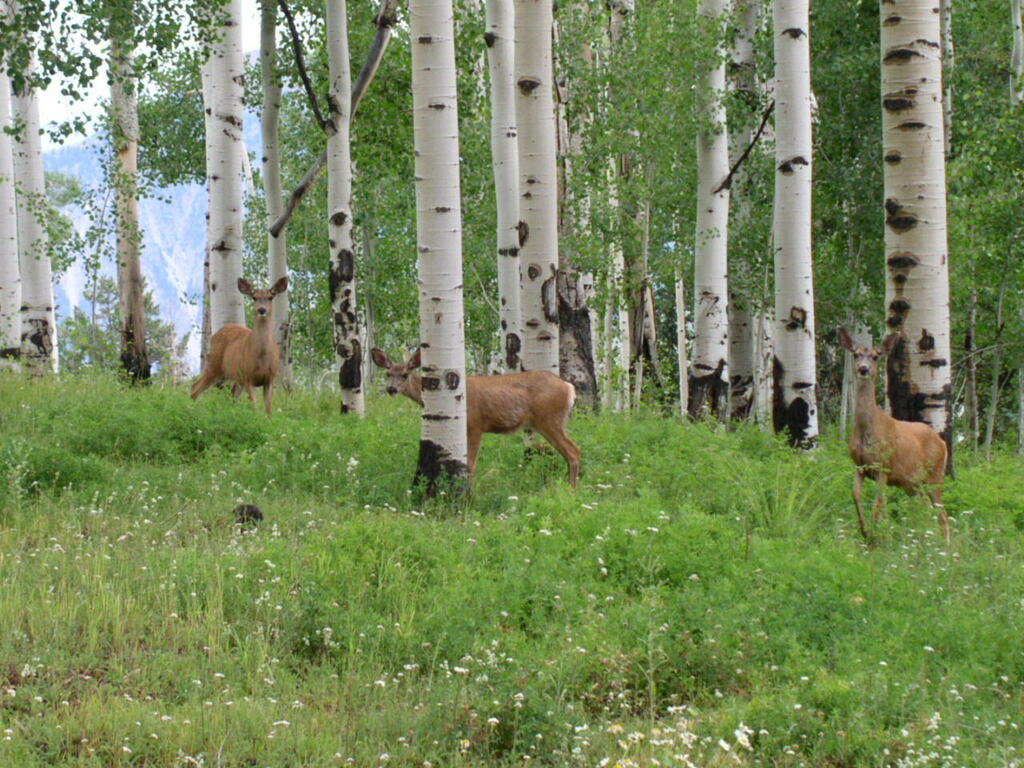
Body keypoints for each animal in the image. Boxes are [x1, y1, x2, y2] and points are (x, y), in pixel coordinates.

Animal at [191, 277, 288, 416]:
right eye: (254, 297)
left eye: (270, 297)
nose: (261, 310)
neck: (262, 358)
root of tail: (216, 333)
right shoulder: (247, 377)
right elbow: (255, 408)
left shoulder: (270, 378)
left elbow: (268, 411)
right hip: (214, 363)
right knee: (195, 387)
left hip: (234, 375)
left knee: (232, 395)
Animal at [371, 347, 581, 487]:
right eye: (388, 373)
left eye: (405, 374)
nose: (391, 389)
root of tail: (568, 387)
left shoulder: (475, 425)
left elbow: (470, 465)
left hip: (550, 419)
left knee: (574, 451)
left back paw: (572, 489)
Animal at [838, 327, 949, 543]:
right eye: (856, 354)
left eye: (875, 356)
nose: (863, 369)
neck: (867, 432)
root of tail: (942, 443)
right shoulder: (860, 465)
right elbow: (855, 495)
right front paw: (865, 532)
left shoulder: (883, 466)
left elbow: (878, 503)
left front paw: (875, 537)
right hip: (913, 484)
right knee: (927, 510)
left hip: (935, 475)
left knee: (942, 515)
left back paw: (946, 547)